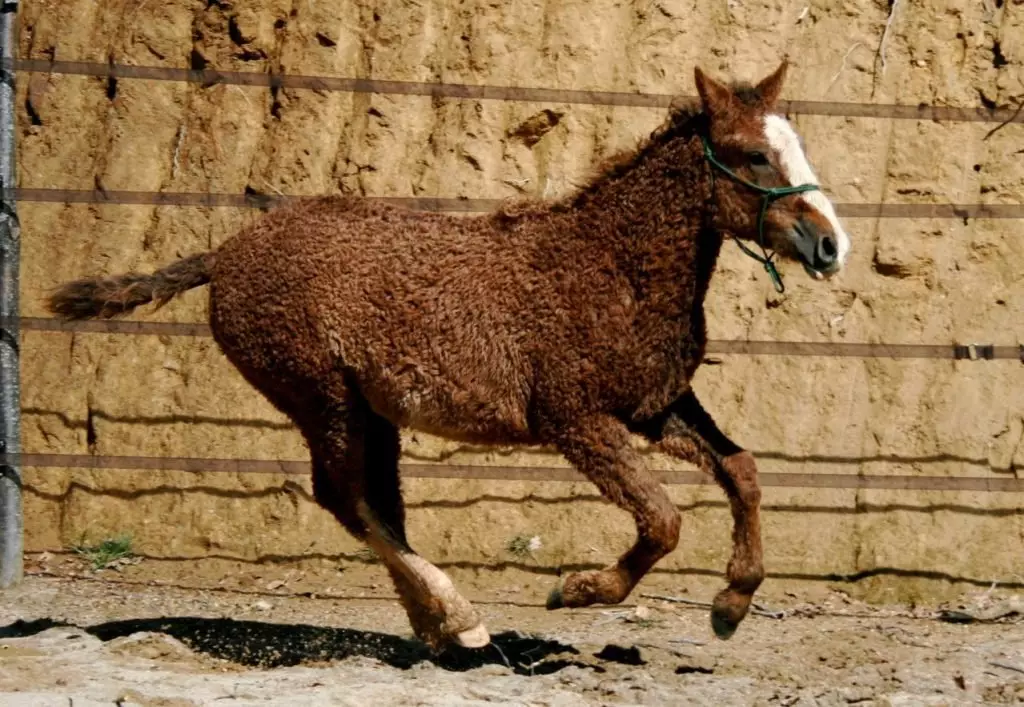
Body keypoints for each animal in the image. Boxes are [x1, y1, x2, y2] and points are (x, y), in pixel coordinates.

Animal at [46, 60, 847, 651]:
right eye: (754, 155)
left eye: (797, 147)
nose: (830, 245)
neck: (611, 267)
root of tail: (226, 253)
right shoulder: (578, 421)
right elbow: (662, 520)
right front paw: (577, 590)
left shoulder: (657, 407)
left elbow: (742, 472)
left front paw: (731, 604)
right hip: (321, 398)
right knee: (348, 497)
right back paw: (459, 620)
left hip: (369, 413)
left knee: (372, 501)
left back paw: (436, 628)